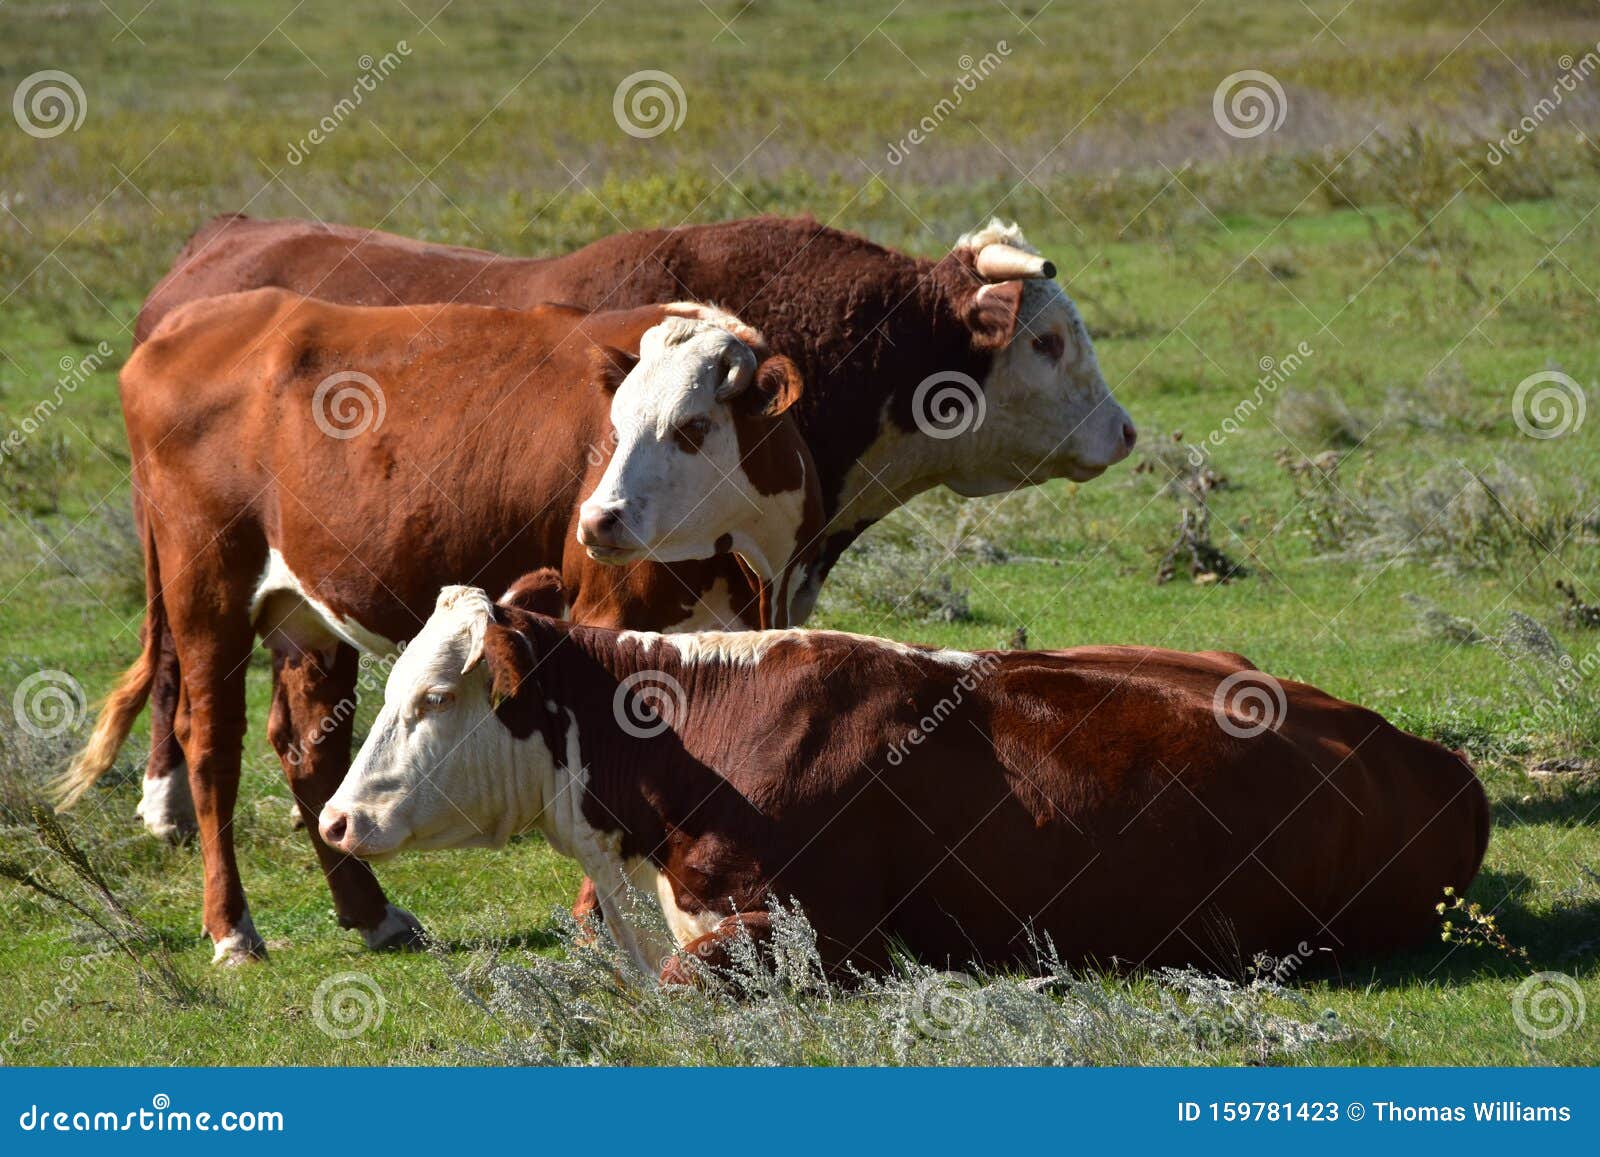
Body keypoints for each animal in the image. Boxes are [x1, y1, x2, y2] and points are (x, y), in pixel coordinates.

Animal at [57, 291, 813, 963]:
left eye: (693, 427)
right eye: (617, 425)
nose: (599, 520)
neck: (744, 557)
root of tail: (190, 321)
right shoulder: (601, 618)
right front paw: (595, 923)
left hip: (303, 616)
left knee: (307, 752)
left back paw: (371, 912)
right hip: (207, 592)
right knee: (212, 749)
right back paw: (232, 929)